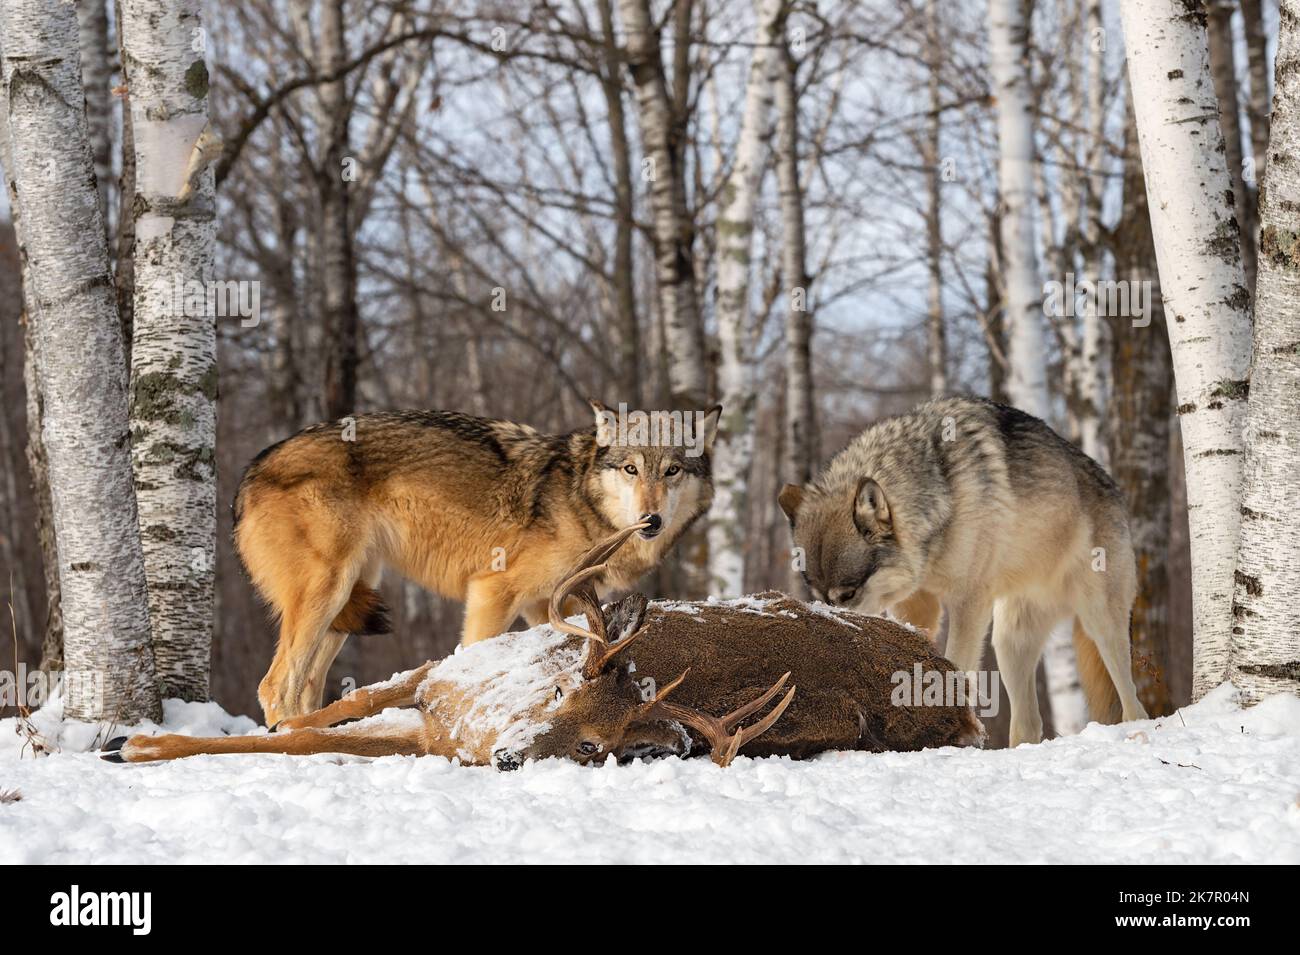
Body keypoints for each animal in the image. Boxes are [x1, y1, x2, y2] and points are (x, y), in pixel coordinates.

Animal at [103, 525, 984, 769]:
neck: (473, 722)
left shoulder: (433, 730)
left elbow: (314, 738)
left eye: (597, 747)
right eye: (559, 693)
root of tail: (954, 687)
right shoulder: (444, 669)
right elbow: (328, 711)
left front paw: (137, 743)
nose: (508, 755)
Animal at [234, 401, 720, 726]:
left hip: (348, 600)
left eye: (672, 471)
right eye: (630, 469)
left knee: (306, 690)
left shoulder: (548, 607)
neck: (580, 501)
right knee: (275, 686)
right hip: (327, 591)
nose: (651, 520)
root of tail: (254, 467)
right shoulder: (493, 590)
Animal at [778, 395, 1147, 747]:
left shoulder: (969, 602)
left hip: (1100, 624)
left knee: (1133, 703)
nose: (831, 637)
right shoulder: (916, 606)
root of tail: (1112, 486)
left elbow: (955, 665)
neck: (942, 494)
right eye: (818, 597)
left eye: (848, 594)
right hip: (1009, 642)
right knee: (1029, 723)